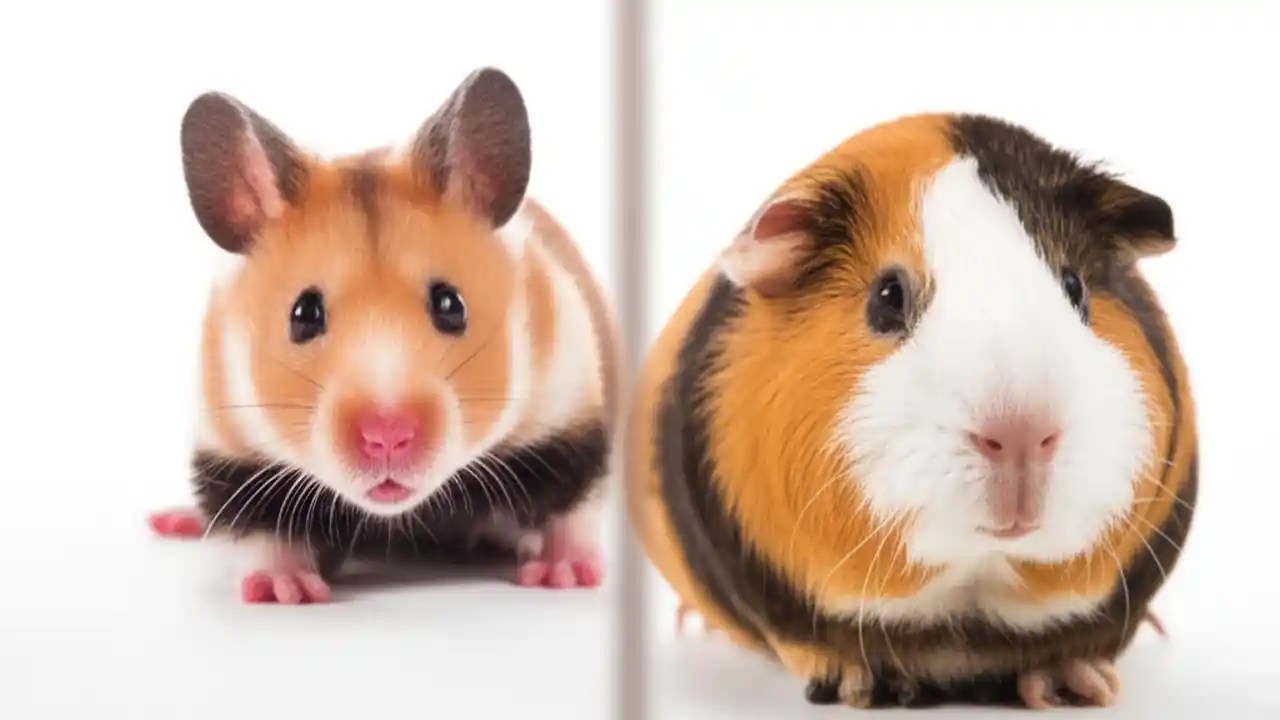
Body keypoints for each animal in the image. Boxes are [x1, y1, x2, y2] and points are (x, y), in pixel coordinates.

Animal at [148, 67, 620, 602]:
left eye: (450, 305)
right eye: (303, 314)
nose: (388, 437)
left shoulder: (571, 414)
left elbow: (572, 506)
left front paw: (564, 577)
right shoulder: (234, 452)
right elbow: (264, 531)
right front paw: (283, 590)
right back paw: (174, 521)